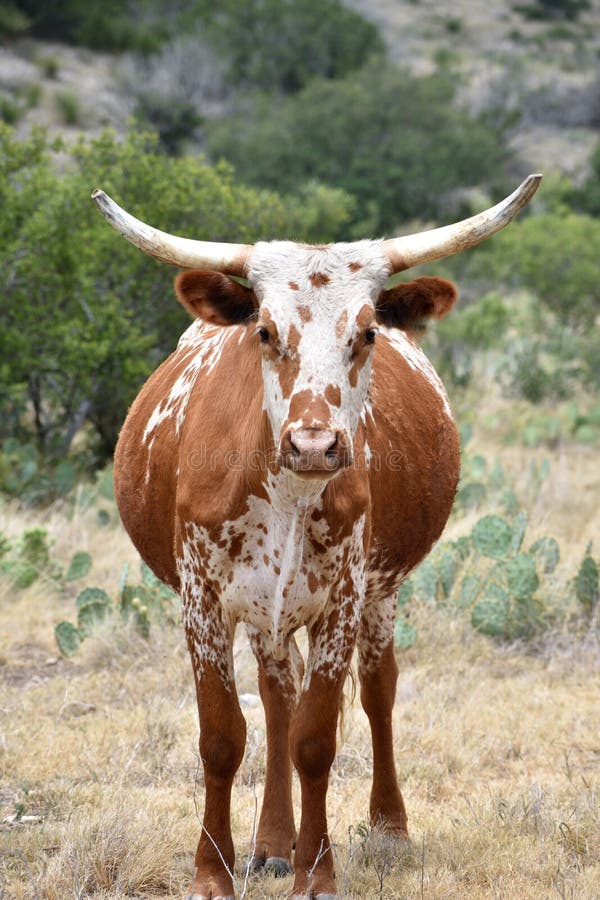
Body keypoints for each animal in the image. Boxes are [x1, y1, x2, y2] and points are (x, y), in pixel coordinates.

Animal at [92, 174, 541, 900]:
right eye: (266, 331)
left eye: (367, 332)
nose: (313, 443)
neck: (289, 494)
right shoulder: (202, 601)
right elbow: (224, 735)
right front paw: (214, 871)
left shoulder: (343, 599)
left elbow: (317, 739)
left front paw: (319, 870)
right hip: (263, 610)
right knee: (278, 695)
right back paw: (274, 843)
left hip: (378, 593)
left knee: (376, 688)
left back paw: (385, 828)